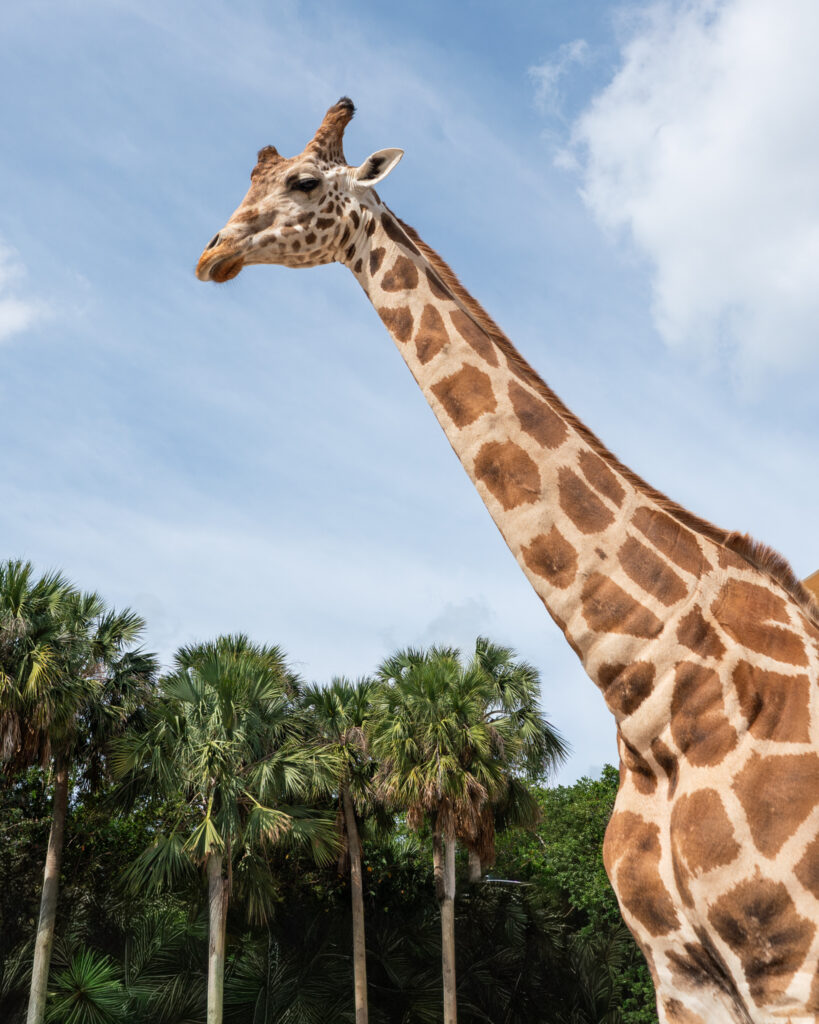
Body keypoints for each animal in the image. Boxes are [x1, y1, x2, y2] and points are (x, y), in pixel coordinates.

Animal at [196, 99, 819, 1024]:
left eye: (303, 182)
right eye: (248, 180)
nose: (212, 253)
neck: (651, 689)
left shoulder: (785, 958)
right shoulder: (680, 972)